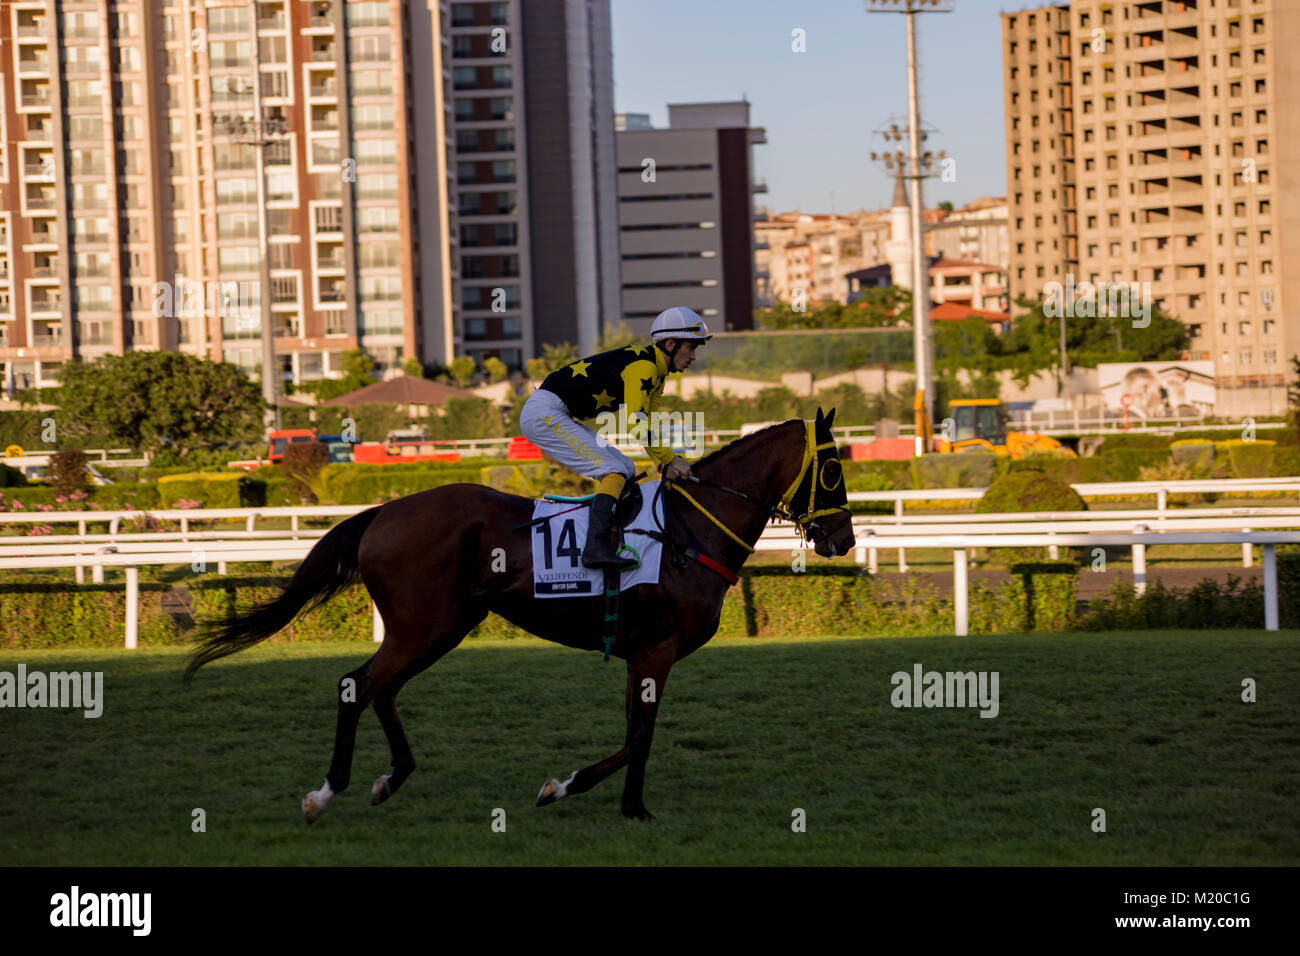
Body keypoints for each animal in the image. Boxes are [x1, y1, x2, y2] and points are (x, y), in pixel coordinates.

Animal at [184, 407, 856, 821]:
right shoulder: (656, 648)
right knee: (358, 684)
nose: (843, 540)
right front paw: (605, 799)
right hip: (423, 627)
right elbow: (640, 735)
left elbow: (634, 734)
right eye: (832, 469)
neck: (690, 531)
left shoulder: (639, 653)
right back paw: (325, 793)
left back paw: (391, 777)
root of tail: (382, 512)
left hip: (441, 629)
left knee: (381, 689)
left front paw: (588, 792)